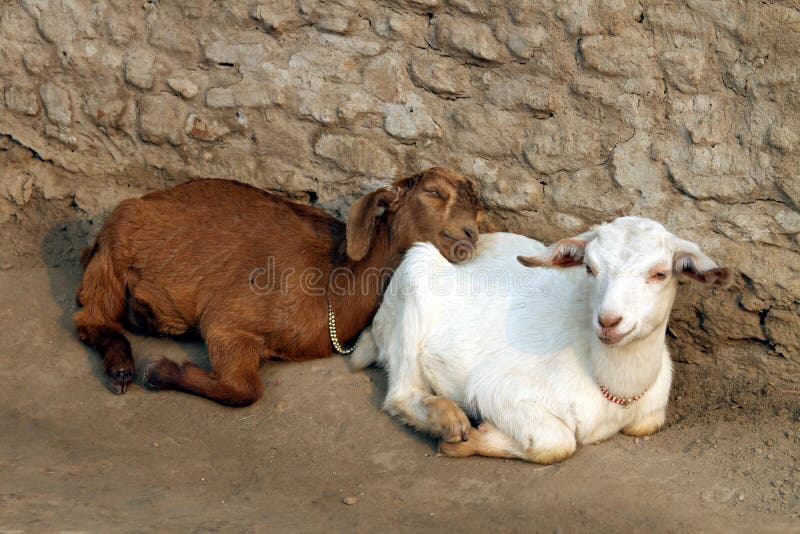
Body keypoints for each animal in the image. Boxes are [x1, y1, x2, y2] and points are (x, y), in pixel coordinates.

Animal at [75, 168, 483, 406]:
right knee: (89, 319)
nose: (471, 235)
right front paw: (159, 371)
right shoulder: (227, 321)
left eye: (479, 211)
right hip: (113, 252)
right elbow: (244, 390)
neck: (333, 280)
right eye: (433, 193)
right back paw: (122, 367)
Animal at [351, 216, 732, 463]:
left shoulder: (650, 415)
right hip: (413, 277)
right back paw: (449, 420)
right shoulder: (496, 388)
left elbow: (646, 424)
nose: (609, 321)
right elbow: (557, 443)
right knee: (401, 394)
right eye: (590, 268)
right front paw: (473, 438)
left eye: (660, 273)